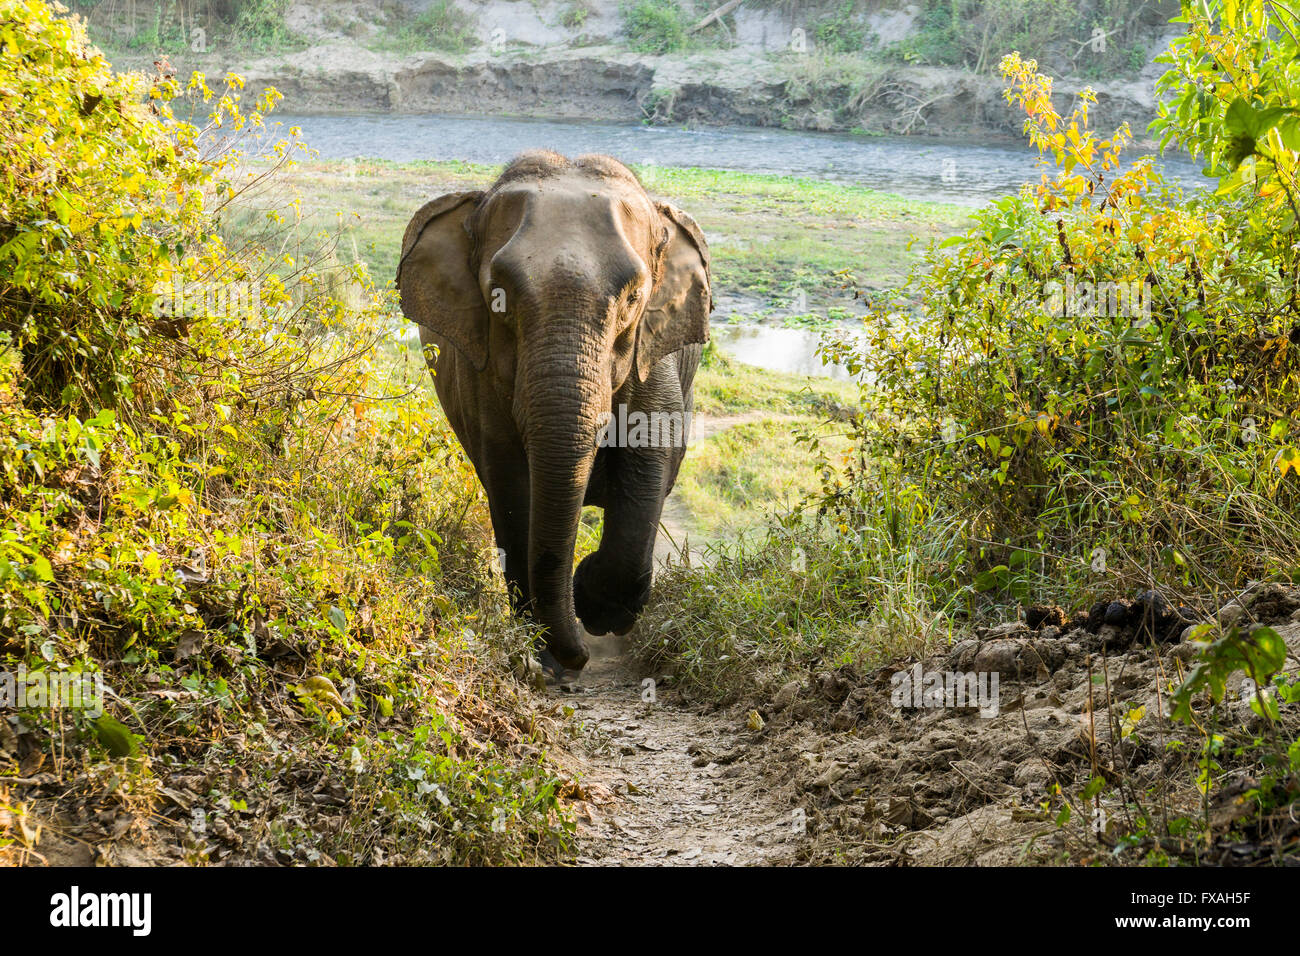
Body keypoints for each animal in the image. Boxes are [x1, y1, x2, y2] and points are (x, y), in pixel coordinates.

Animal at [396, 150, 712, 672]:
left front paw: (596, 608)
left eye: (633, 298)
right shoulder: (483, 376)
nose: (580, 656)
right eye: (498, 297)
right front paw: (543, 647)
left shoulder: (653, 356)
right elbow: (511, 484)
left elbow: (649, 464)